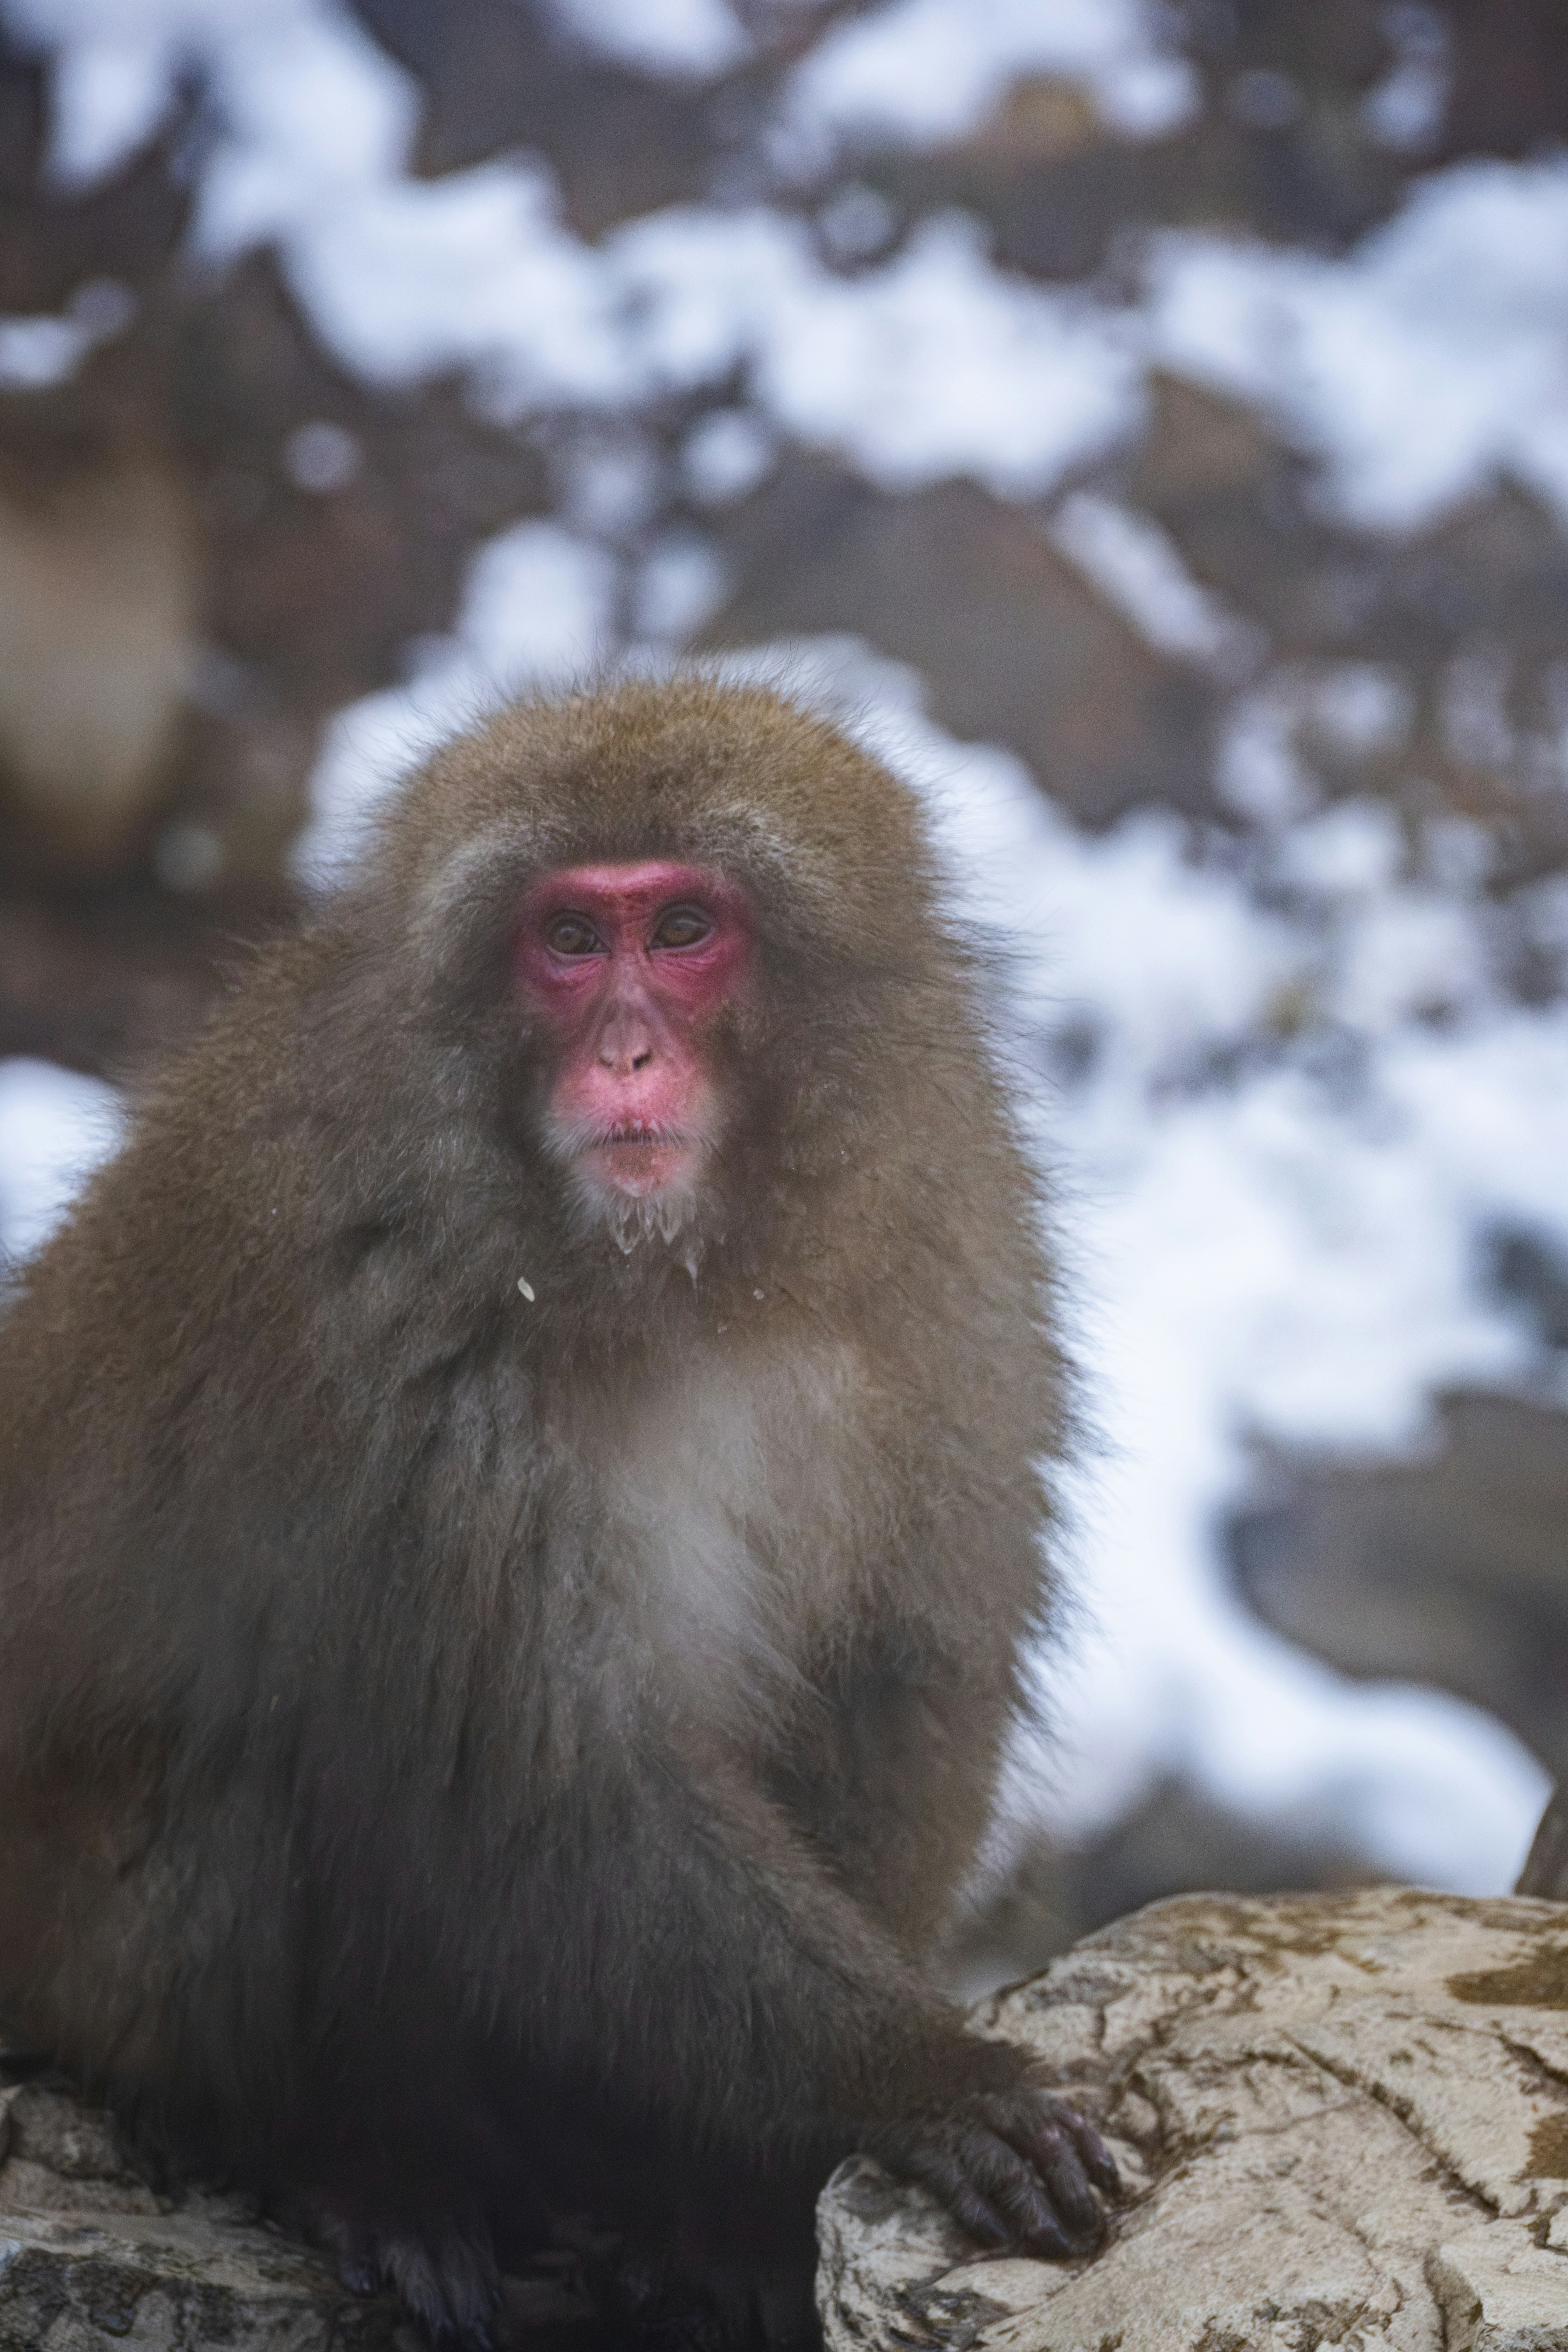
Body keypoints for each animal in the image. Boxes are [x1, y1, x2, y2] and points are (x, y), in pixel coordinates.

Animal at [0, 677, 1116, 2349]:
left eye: (684, 929)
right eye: (571, 940)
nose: (629, 1049)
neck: (685, 1282)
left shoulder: (944, 1241)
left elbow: (904, 1676)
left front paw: (731, 2204)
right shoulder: (379, 1322)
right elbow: (547, 1786)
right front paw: (917, 2076)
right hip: (66, 1924)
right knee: (252, 1757)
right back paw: (358, 2161)